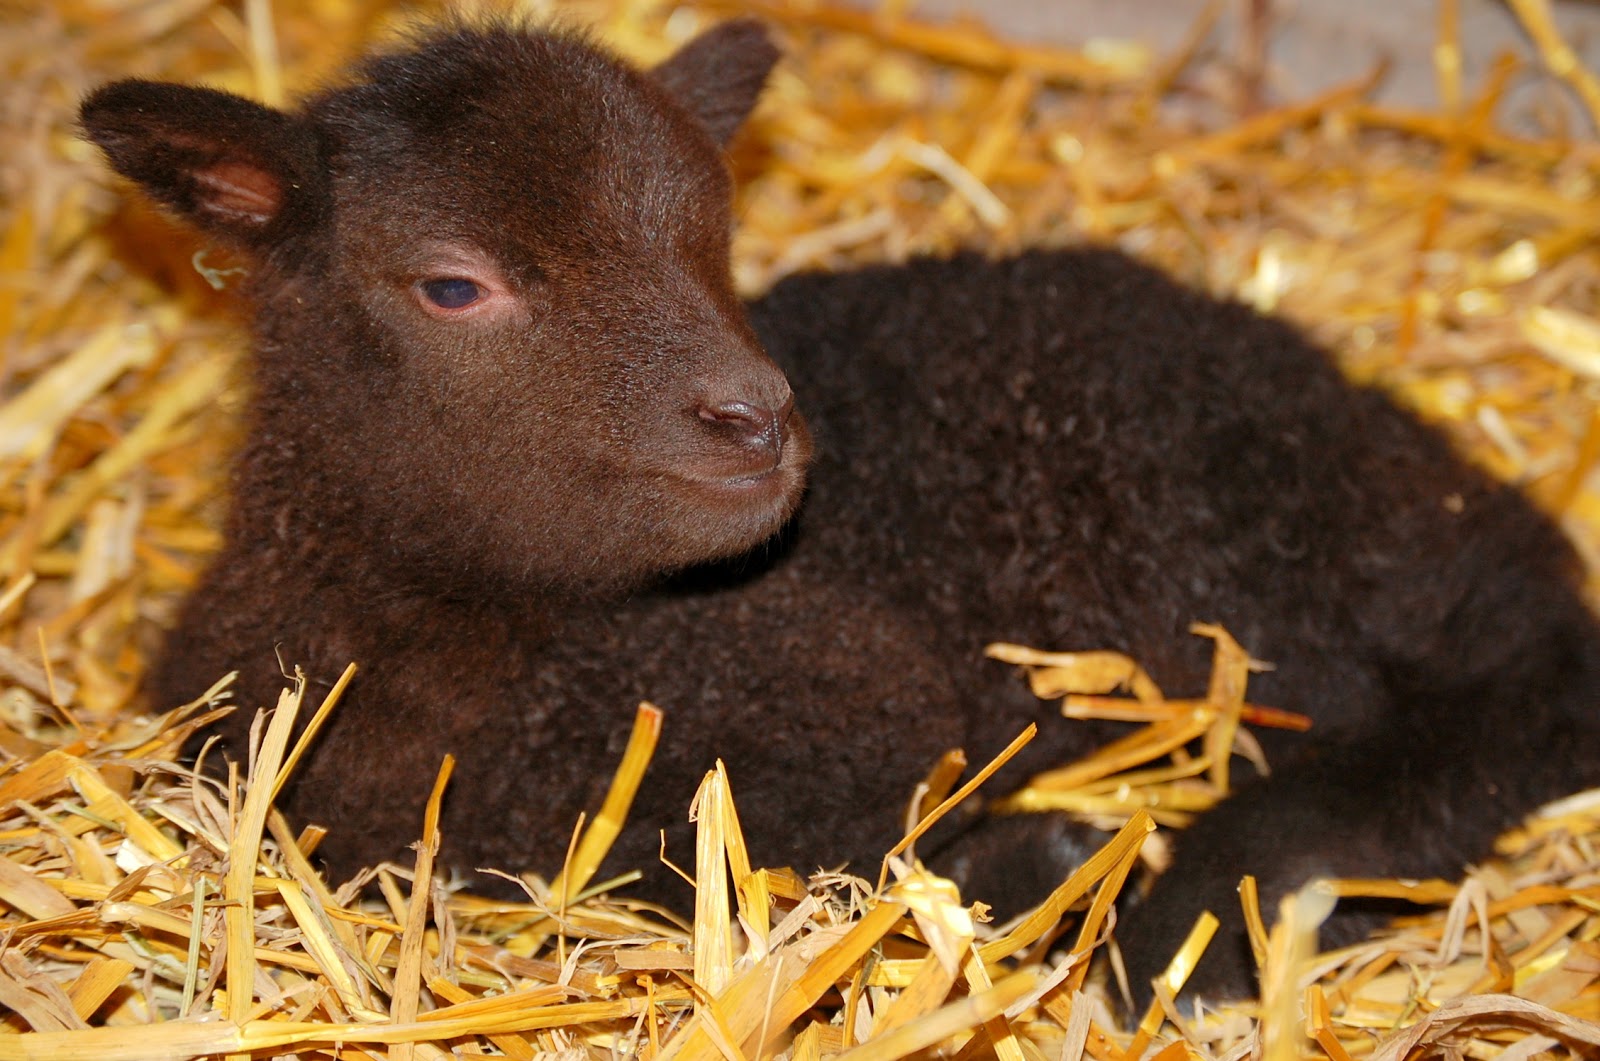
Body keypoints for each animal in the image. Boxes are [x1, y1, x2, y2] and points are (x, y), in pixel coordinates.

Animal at [79, 17, 1600, 1002]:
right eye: (454, 283)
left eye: (714, 235)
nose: (757, 413)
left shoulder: (867, 709)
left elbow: (760, 850)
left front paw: (1037, 861)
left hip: (1236, 539)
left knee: (1493, 709)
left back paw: (1212, 902)